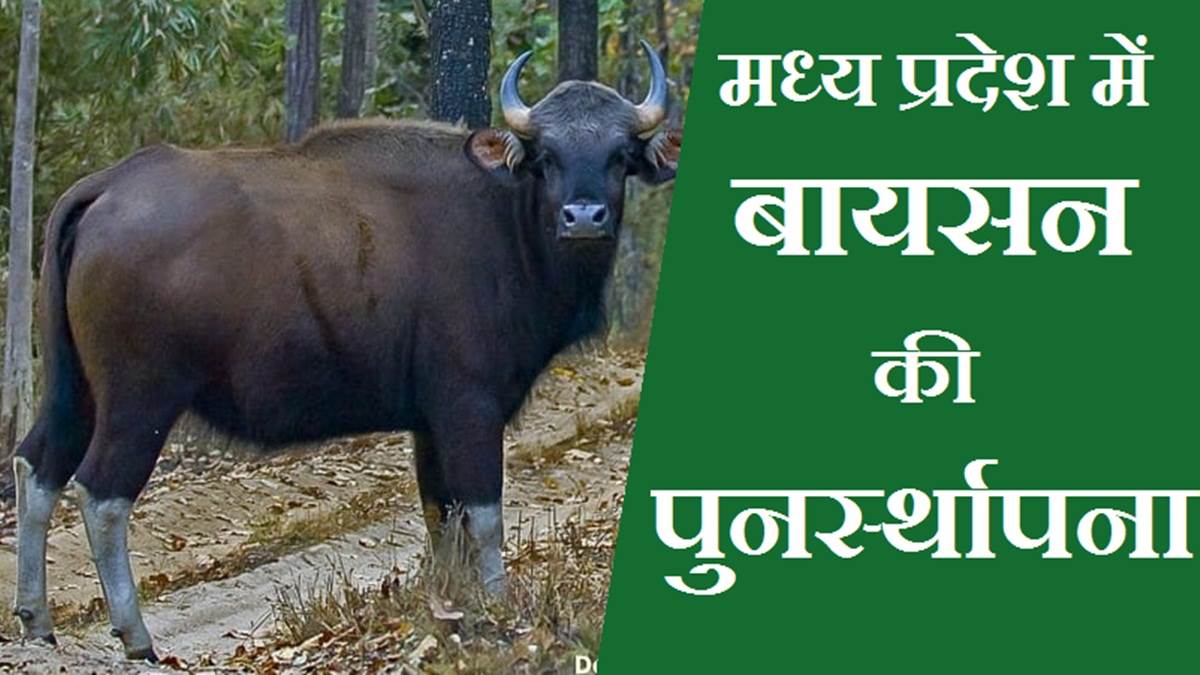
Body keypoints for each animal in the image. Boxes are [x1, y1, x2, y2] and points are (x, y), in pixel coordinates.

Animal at [10, 42, 680, 661]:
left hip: (73, 388)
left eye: (620, 154)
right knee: (101, 493)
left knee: (36, 465)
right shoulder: (470, 406)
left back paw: (36, 617)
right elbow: (484, 515)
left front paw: (451, 606)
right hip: (140, 398)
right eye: (547, 156)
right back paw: (136, 635)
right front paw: (498, 606)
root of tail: (106, 187)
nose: (584, 217)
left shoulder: (430, 420)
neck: (508, 224)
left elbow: (441, 514)